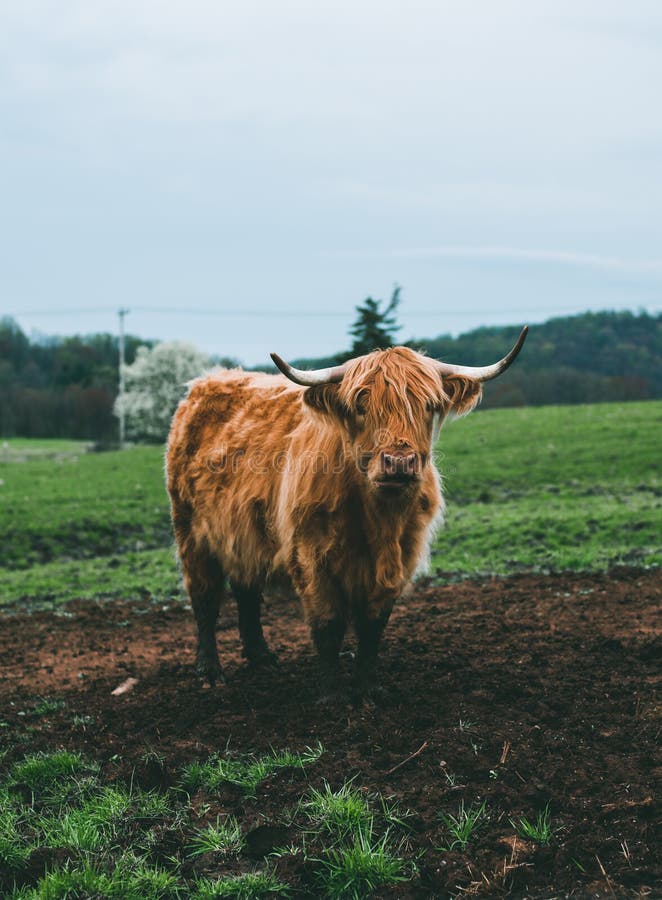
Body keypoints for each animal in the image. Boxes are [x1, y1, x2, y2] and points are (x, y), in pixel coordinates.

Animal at [165, 327, 527, 700]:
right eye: (361, 406)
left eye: (428, 405)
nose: (399, 463)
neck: (377, 519)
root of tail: (208, 382)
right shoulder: (311, 557)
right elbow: (329, 623)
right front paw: (332, 695)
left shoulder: (400, 558)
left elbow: (373, 626)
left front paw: (366, 690)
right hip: (191, 532)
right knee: (205, 598)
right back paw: (209, 672)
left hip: (240, 535)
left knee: (246, 591)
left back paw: (263, 659)